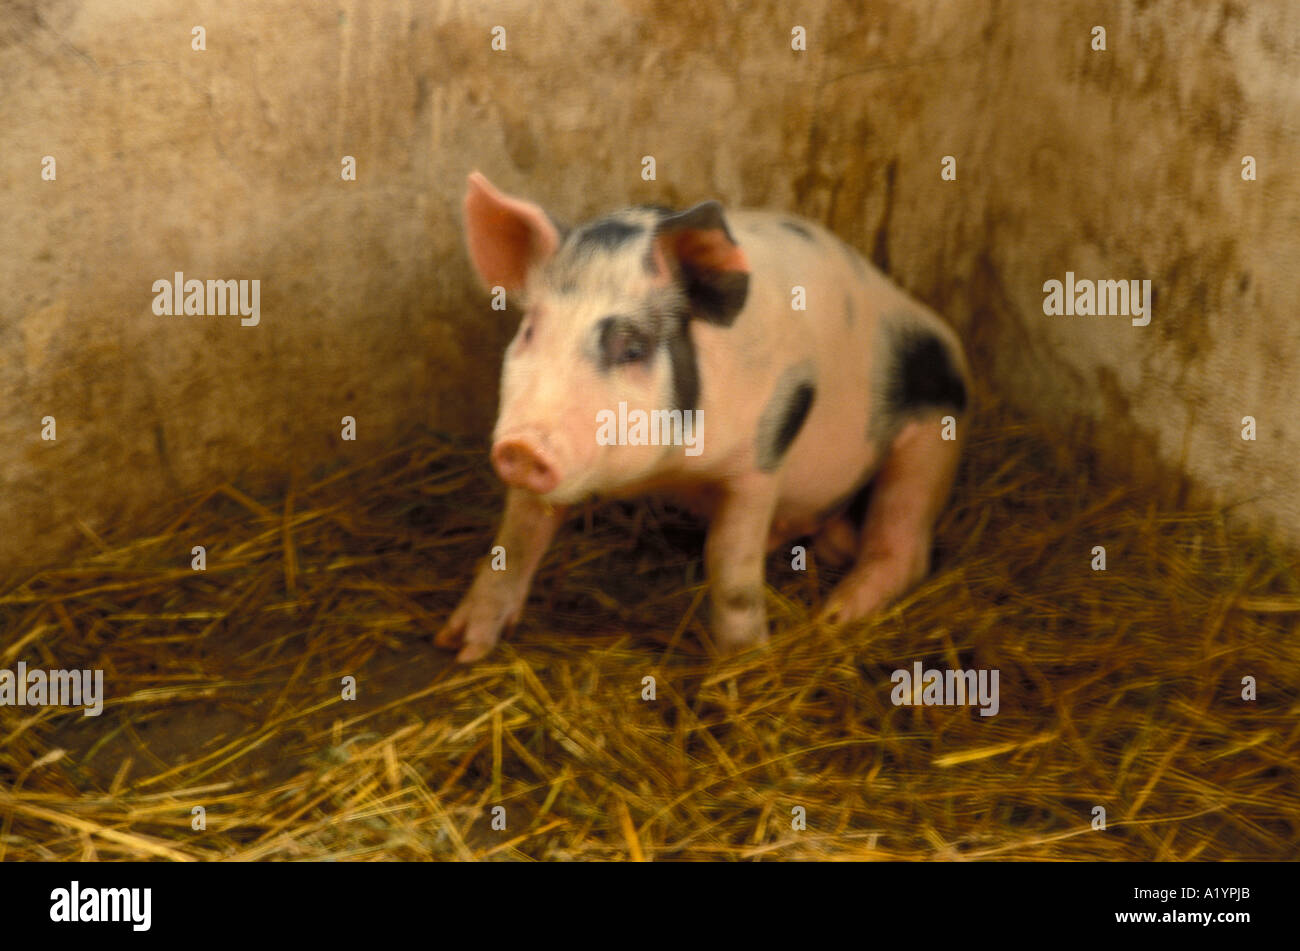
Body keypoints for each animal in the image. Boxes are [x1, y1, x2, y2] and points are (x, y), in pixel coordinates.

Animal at [435, 171, 969, 662]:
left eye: (633, 348)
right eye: (530, 330)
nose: (523, 446)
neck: (669, 472)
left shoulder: (764, 453)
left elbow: (730, 564)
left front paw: (747, 663)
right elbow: (518, 541)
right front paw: (461, 648)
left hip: (934, 436)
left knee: (904, 542)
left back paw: (835, 615)